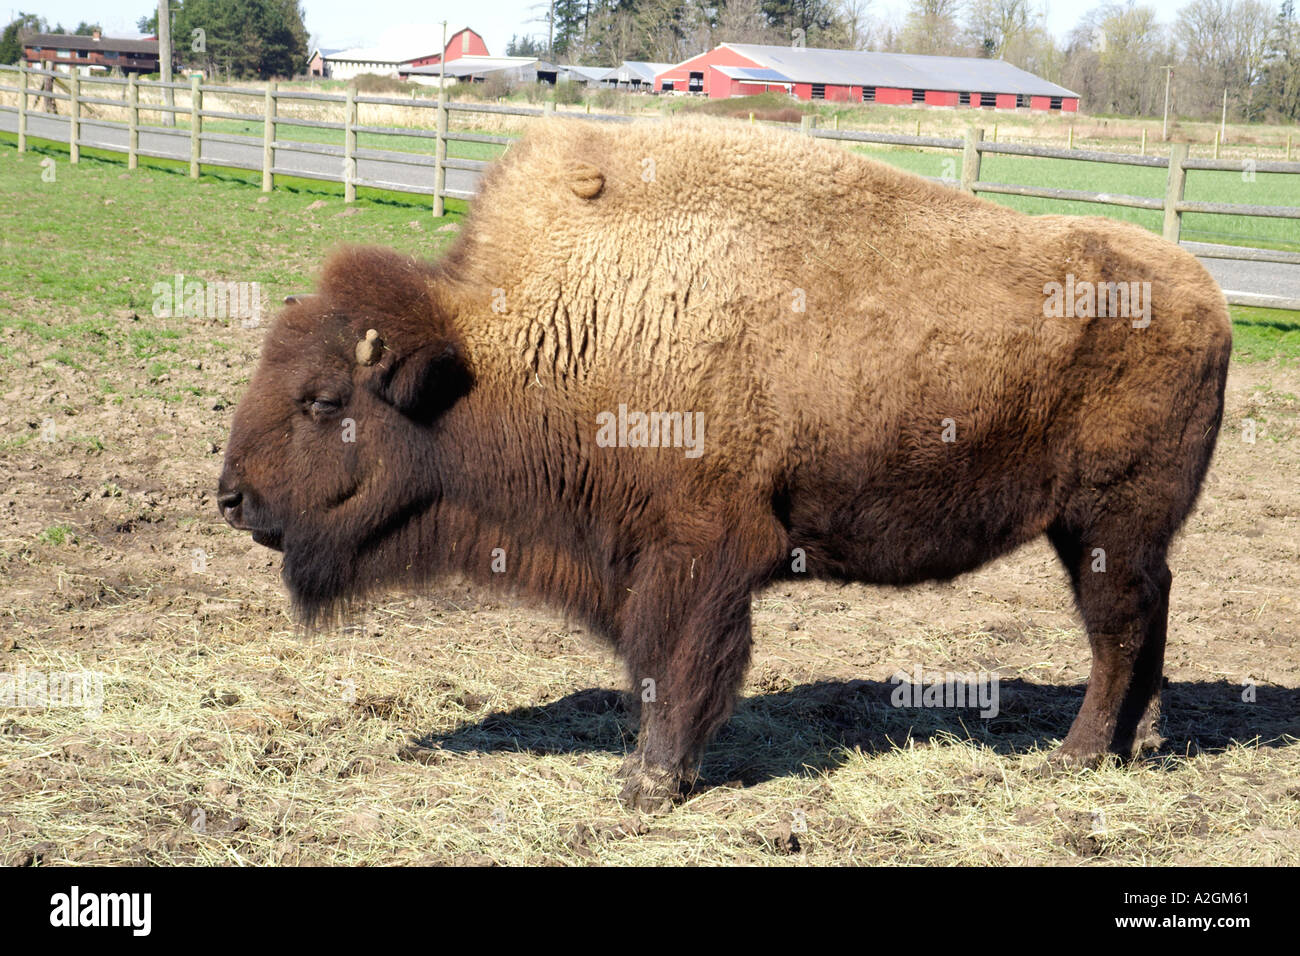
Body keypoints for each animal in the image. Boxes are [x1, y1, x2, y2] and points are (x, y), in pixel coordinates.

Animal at [218, 118, 1232, 810]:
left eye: (323, 401)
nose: (232, 500)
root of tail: (1208, 294)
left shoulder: (697, 556)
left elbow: (679, 665)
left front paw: (649, 782)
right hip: (1109, 533)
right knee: (1149, 616)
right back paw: (1139, 743)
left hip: (1105, 524)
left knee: (1117, 630)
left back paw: (1077, 756)